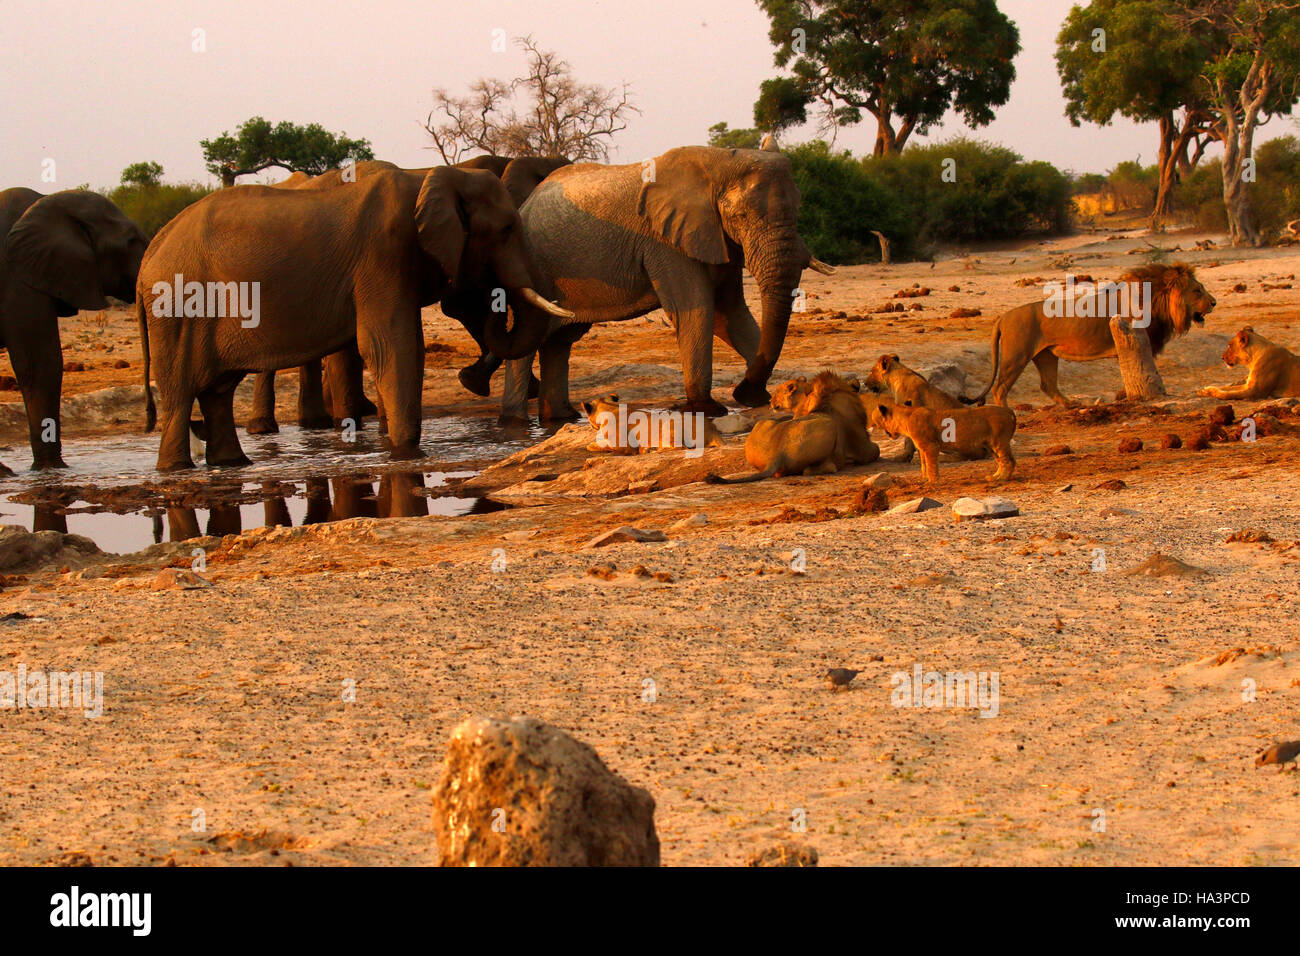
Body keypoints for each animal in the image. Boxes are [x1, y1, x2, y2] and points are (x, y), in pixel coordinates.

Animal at [582, 394, 721, 453]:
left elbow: (595, 446)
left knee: (681, 447)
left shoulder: (624, 446)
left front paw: (592, 445)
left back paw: (651, 450)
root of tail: (713, 429)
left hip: (669, 423)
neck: (610, 408)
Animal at [707, 373, 875, 483]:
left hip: (764, 422)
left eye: (779, 391)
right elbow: (875, 450)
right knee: (819, 468)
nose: (770, 401)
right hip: (829, 426)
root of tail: (777, 455)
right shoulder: (863, 448)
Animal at [866, 396, 1016, 483]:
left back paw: (1003, 479)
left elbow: (931, 465)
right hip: (991, 445)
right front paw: (925, 479)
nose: (871, 424)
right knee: (1002, 462)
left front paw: (933, 482)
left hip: (999, 442)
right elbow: (924, 464)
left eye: (875, 420)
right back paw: (994, 477)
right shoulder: (922, 448)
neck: (905, 418)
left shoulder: (931, 446)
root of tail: (1009, 411)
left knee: (1010, 461)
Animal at [969, 263, 1216, 407]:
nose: (1214, 302)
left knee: (1047, 384)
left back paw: (1071, 405)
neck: (1156, 301)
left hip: (1046, 355)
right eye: (1197, 291)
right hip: (1016, 356)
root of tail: (1003, 317)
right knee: (1000, 389)